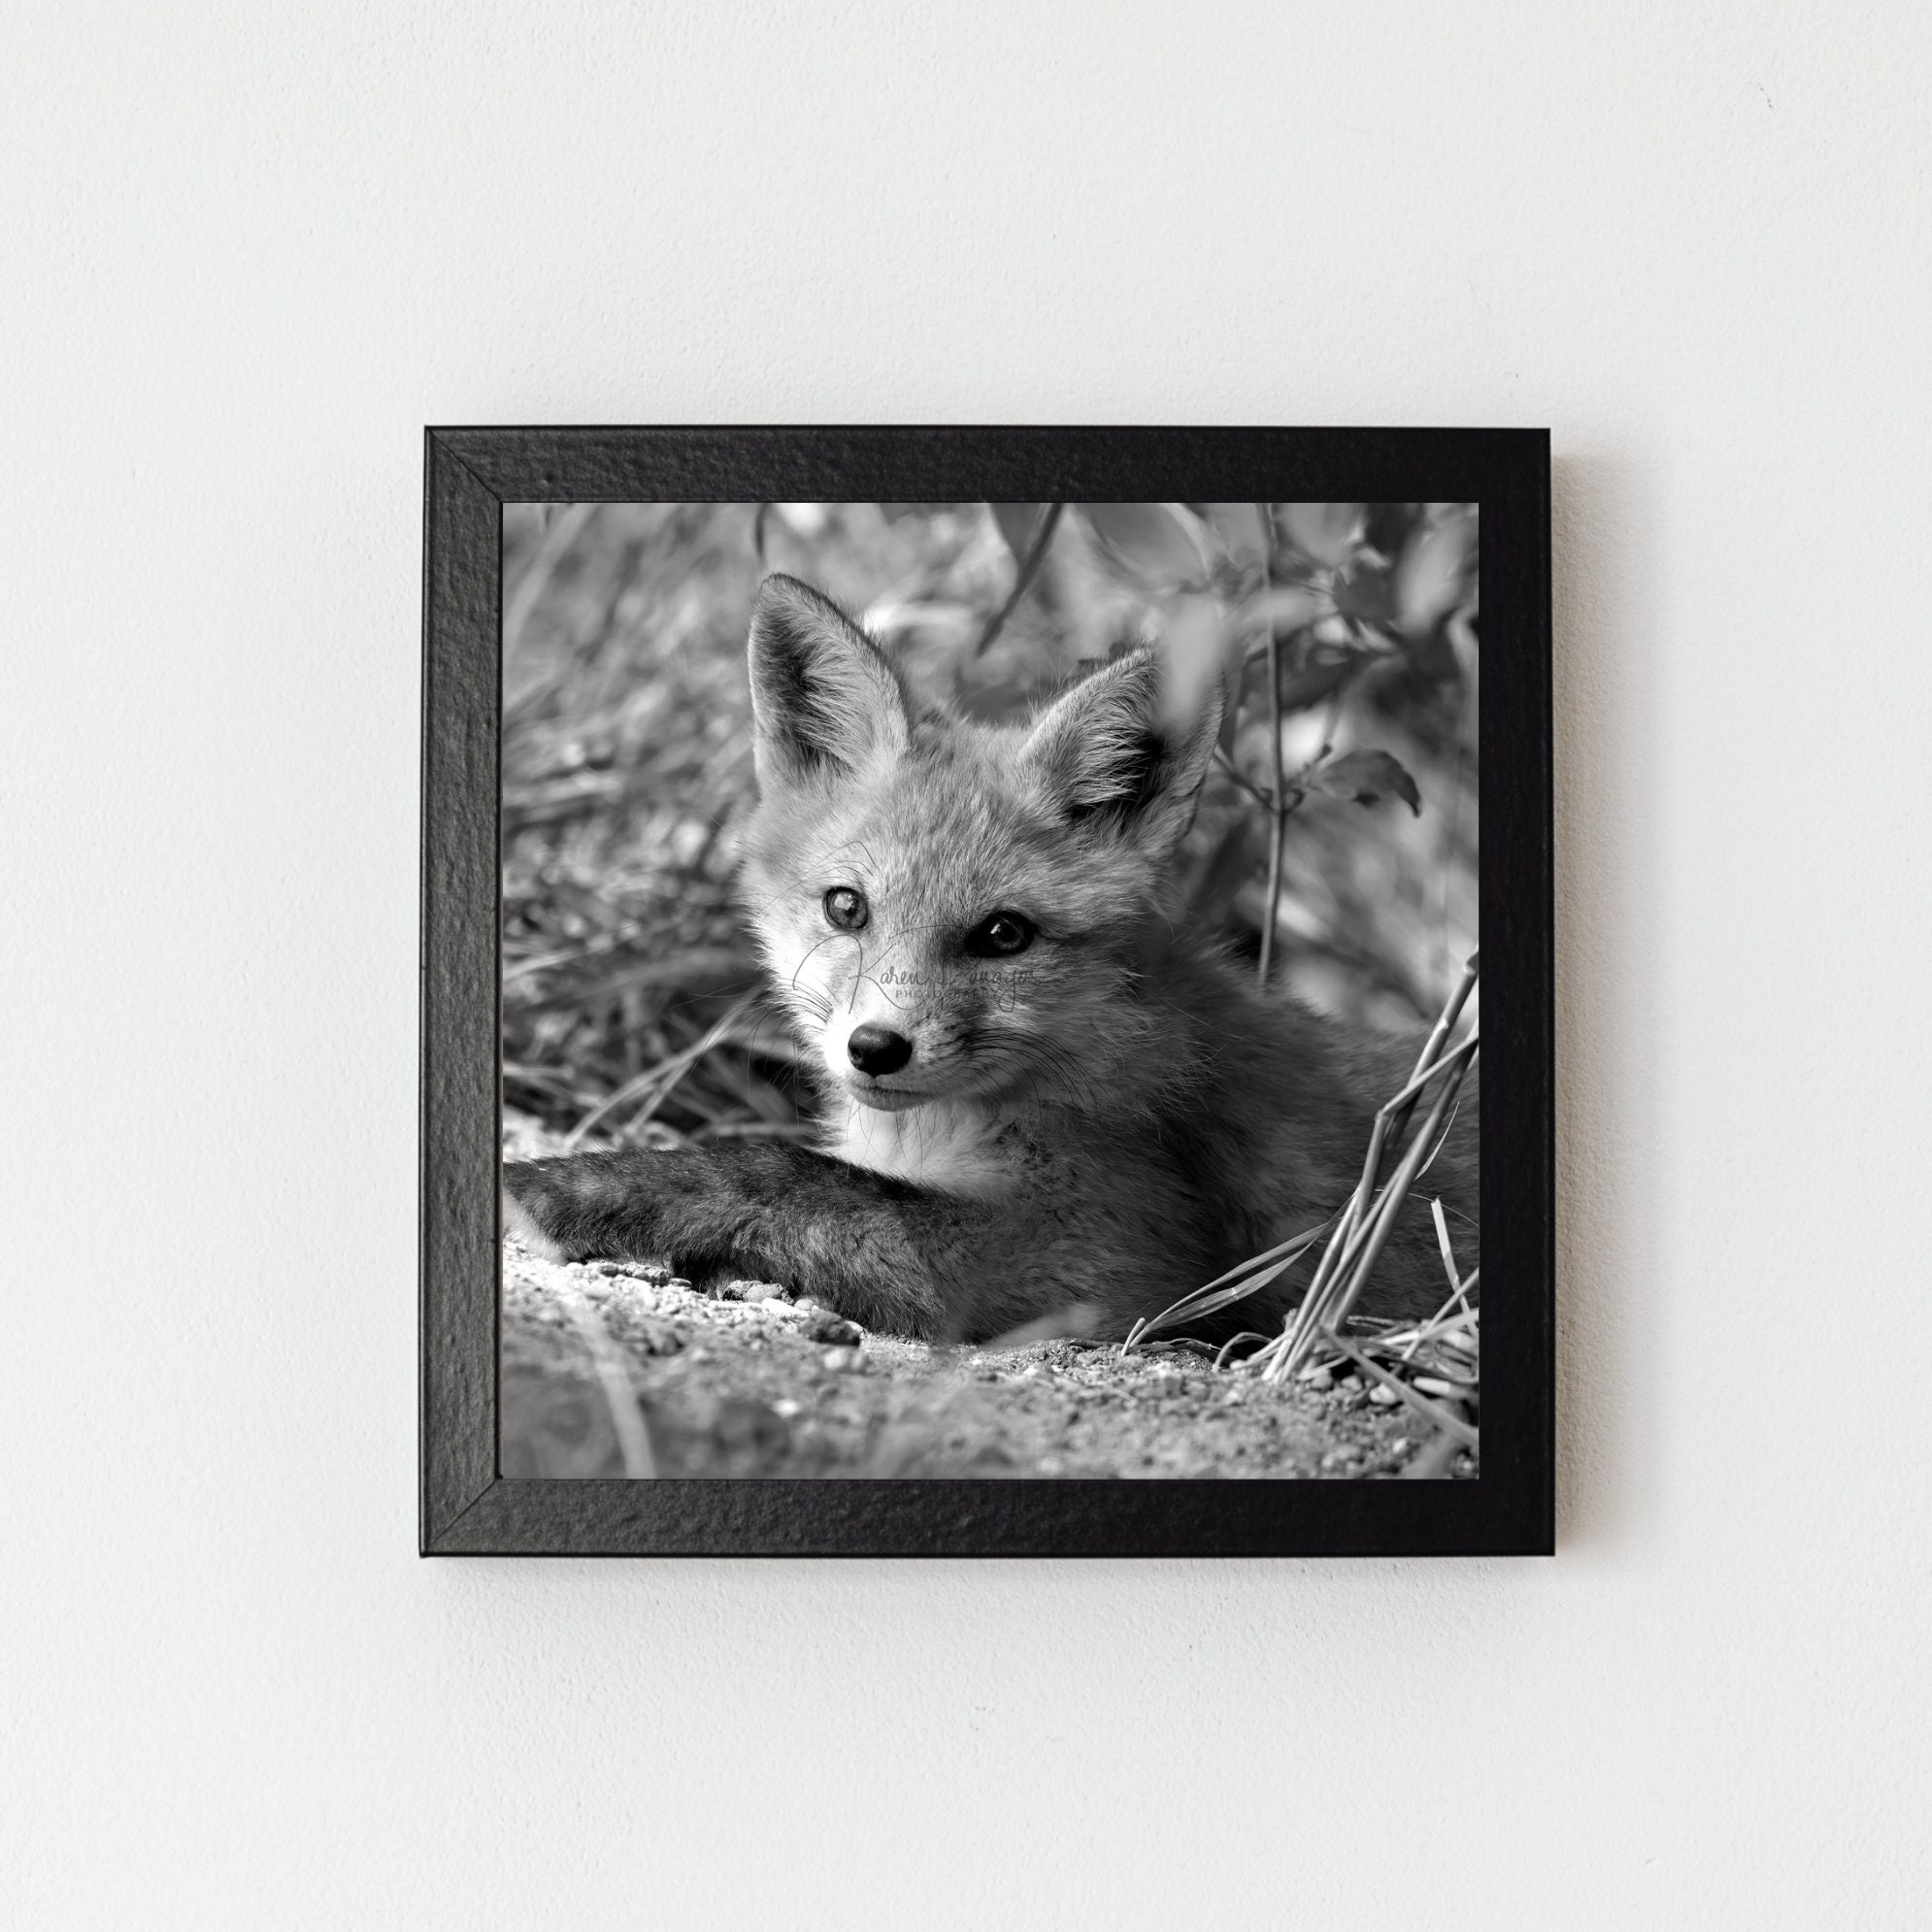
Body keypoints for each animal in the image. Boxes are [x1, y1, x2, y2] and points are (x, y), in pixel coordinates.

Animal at [503, 572, 1477, 1346]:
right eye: (846, 907)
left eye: (1003, 935)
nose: (875, 1049)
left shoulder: (1122, 1264)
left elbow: (801, 1176)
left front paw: (565, 1187)